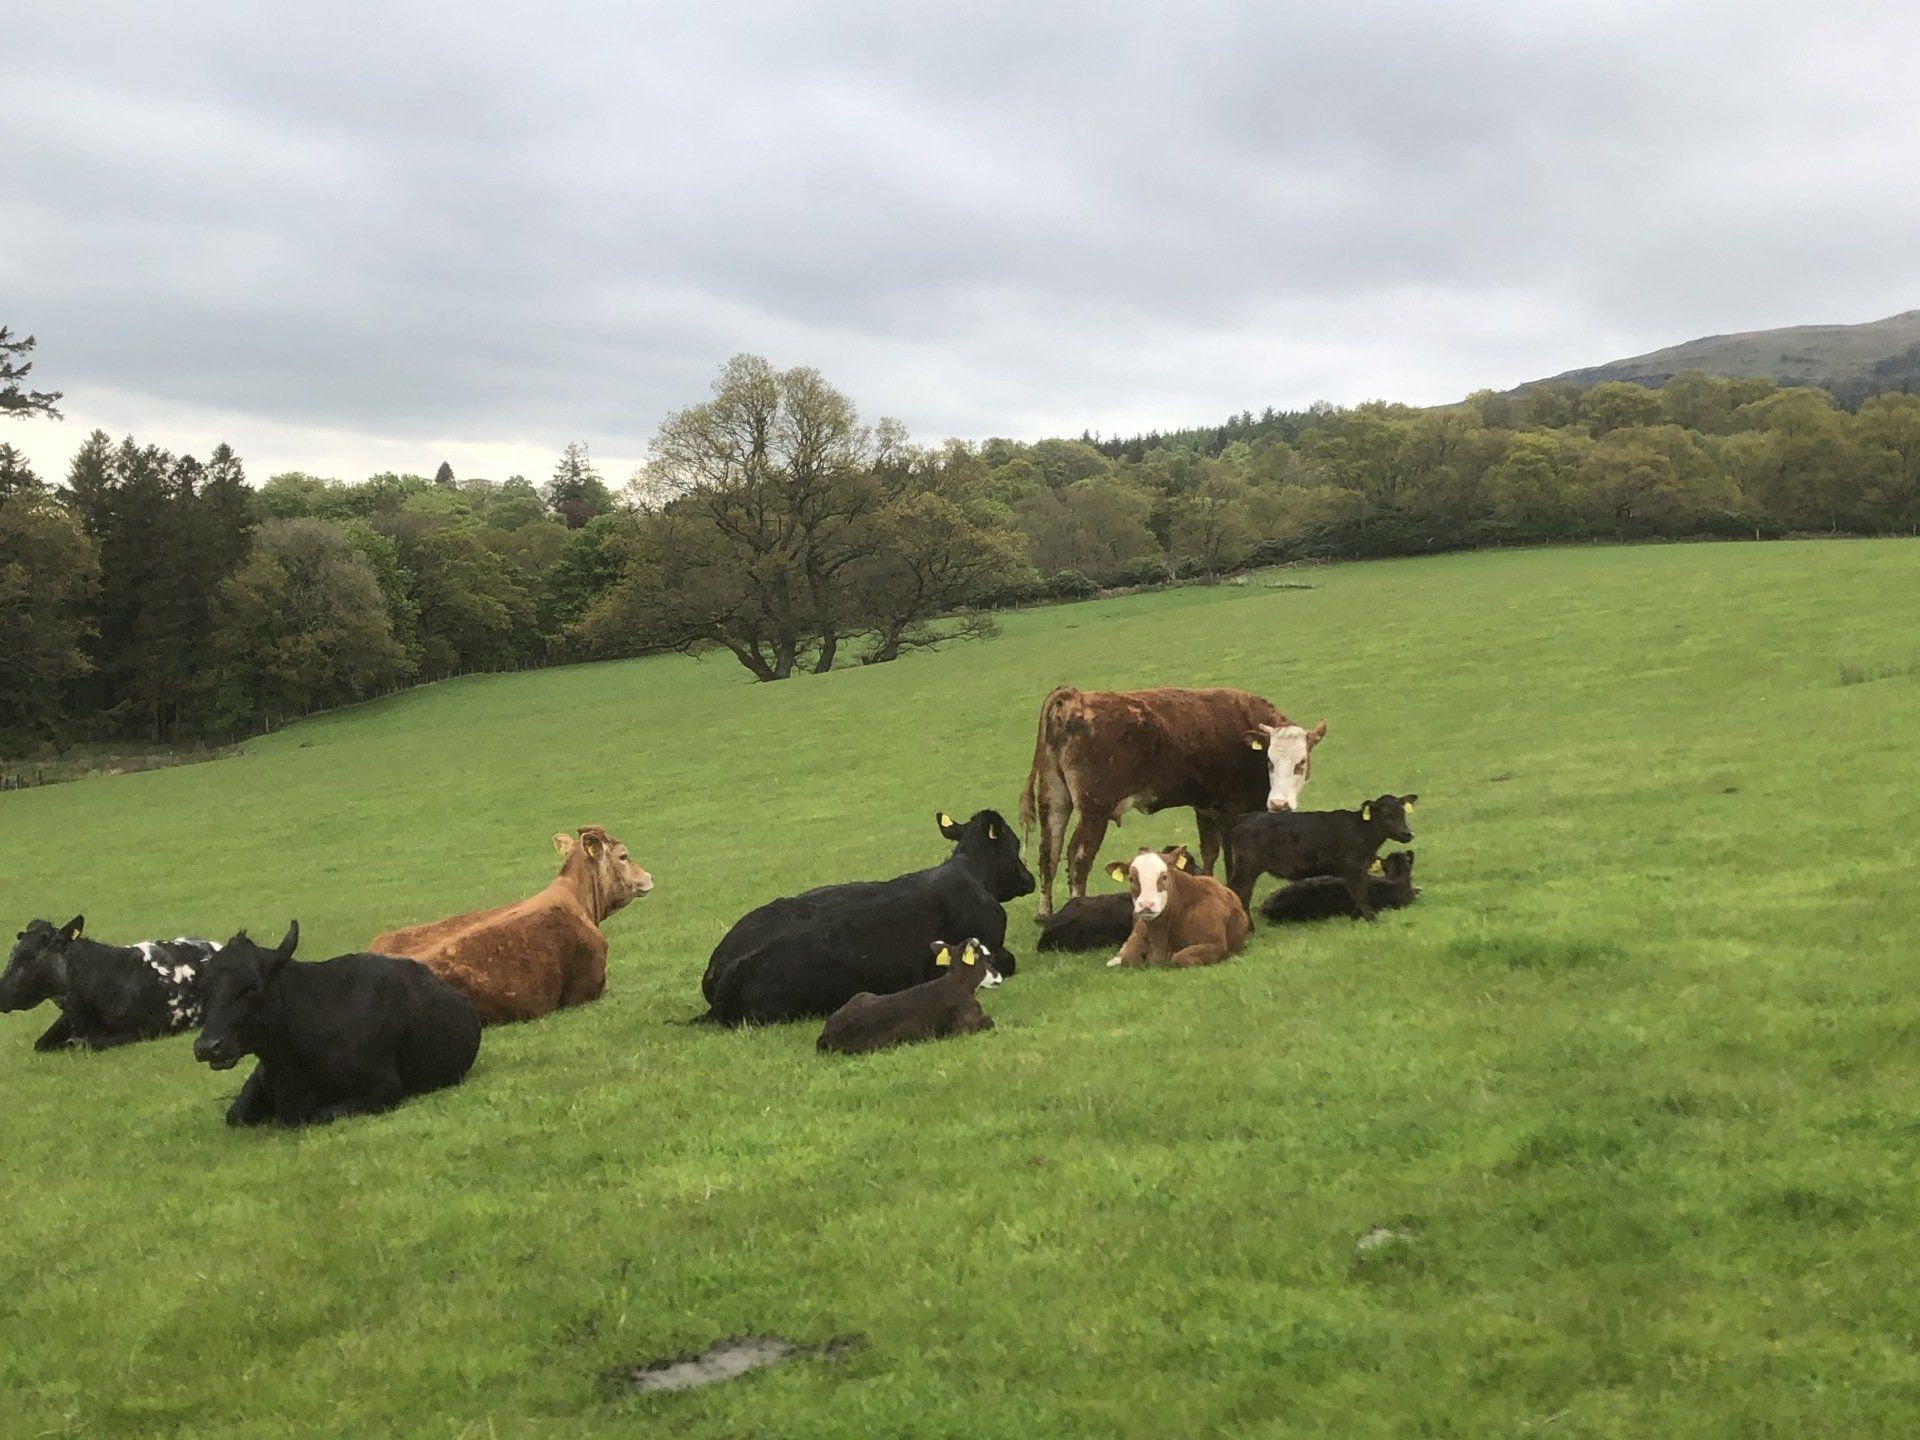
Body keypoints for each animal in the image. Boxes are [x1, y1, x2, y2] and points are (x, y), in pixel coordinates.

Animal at [193, 921, 482, 1127]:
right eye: (203, 988)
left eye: (253, 986)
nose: (207, 1046)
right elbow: (235, 1115)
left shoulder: (385, 1086)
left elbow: (320, 1114)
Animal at [816, 938, 1003, 1056]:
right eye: (986, 958)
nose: (999, 976)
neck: (958, 984)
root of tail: (827, 1033)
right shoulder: (966, 1025)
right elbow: (991, 1022)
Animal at [1018, 684, 1326, 917]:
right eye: (1270, 762)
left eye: (1301, 762)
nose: (1279, 805)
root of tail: (1077, 698)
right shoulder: (1231, 810)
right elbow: (1227, 855)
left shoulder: (1206, 809)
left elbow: (1209, 851)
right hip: (1094, 811)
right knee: (1078, 857)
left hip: (1055, 801)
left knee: (1049, 853)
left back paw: (1044, 914)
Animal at [1103, 845, 1250, 969]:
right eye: (1131, 879)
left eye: (1164, 876)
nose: (1146, 905)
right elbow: (1128, 957)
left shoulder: (1216, 944)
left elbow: (1179, 958)